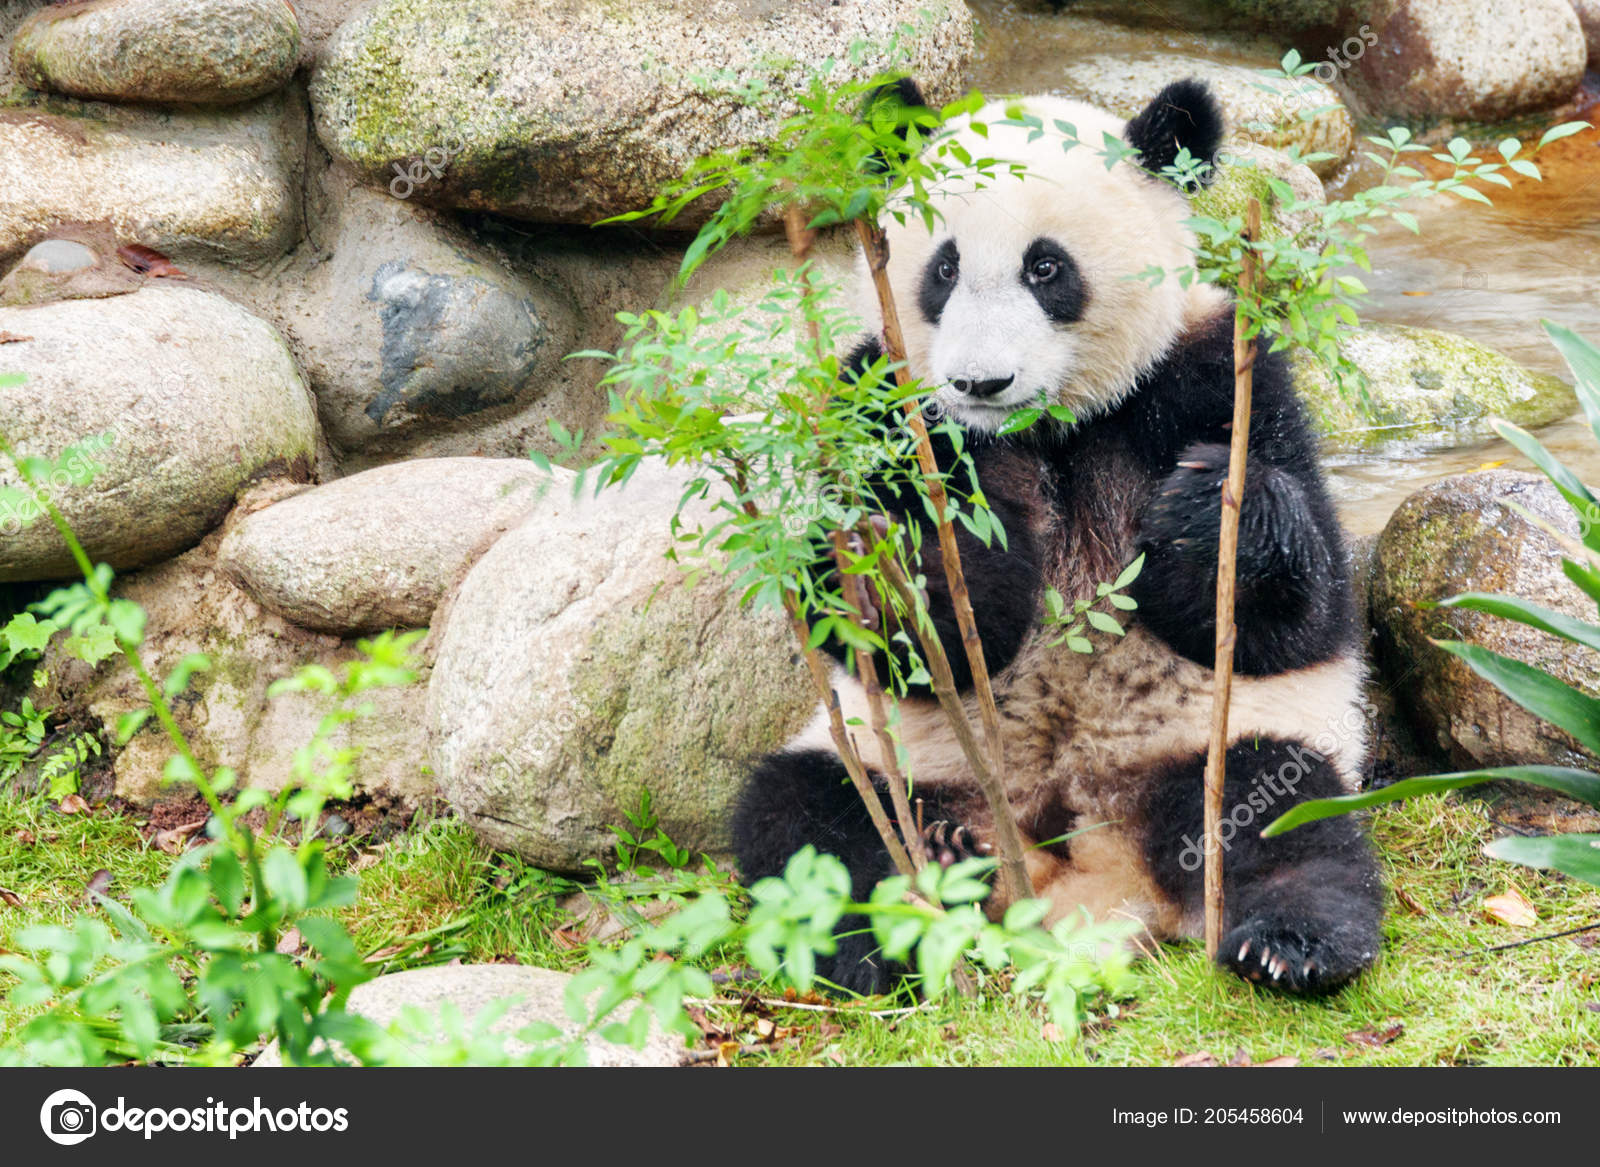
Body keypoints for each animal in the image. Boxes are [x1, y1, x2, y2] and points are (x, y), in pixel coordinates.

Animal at [731, 79, 1385, 996]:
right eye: (944, 269)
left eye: (1046, 269)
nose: (979, 383)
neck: (1046, 433)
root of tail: (1081, 874)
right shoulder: (881, 408)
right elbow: (919, 635)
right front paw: (904, 557)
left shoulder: (1215, 374)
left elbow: (1296, 619)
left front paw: (1204, 508)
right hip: (900, 760)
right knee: (806, 819)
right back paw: (910, 907)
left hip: (1215, 742)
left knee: (1283, 813)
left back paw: (1289, 942)